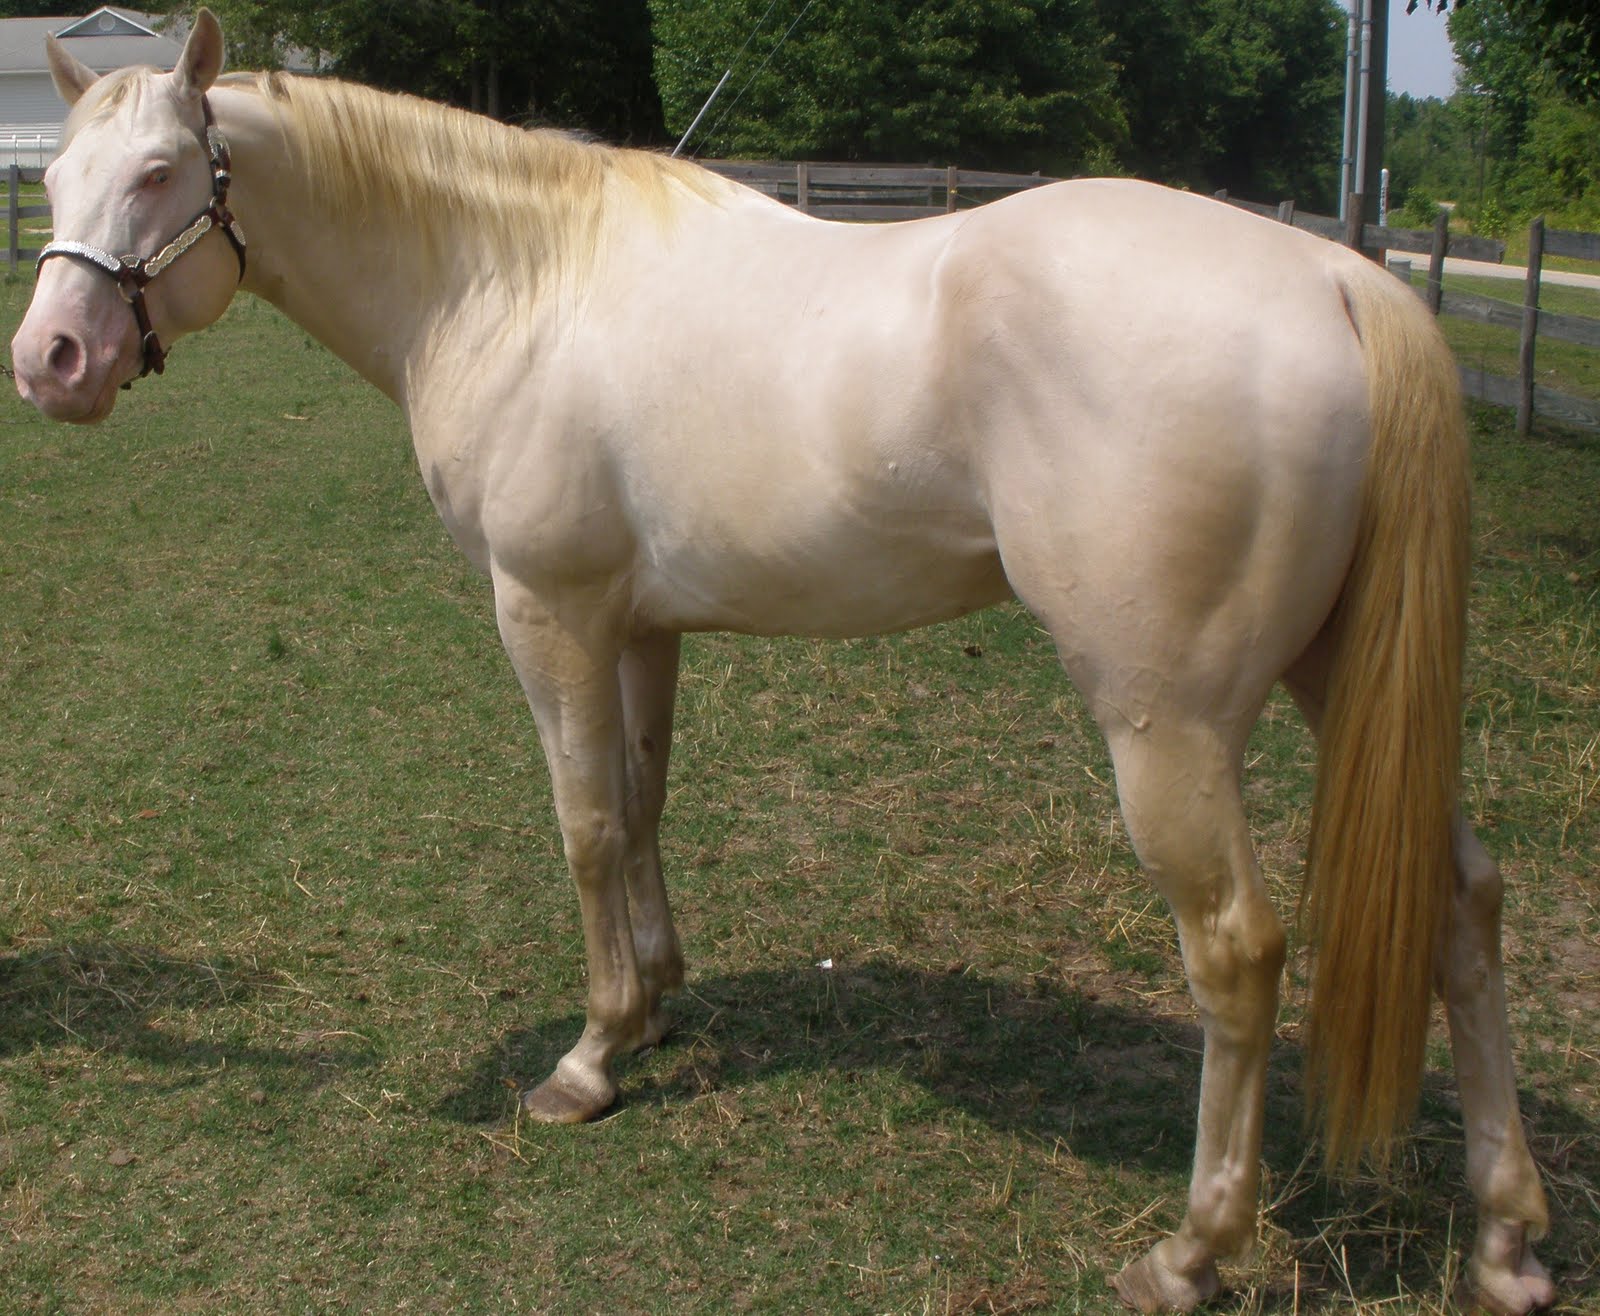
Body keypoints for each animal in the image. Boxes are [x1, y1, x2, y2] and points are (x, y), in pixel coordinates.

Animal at [9, 12, 1554, 1312]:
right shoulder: (640, 625)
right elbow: (641, 807)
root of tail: (1338, 280)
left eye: (161, 174)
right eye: (57, 180)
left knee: (1236, 951)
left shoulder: (549, 614)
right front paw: (654, 1004)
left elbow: (583, 824)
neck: (512, 280)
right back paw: (1508, 1236)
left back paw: (1191, 1250)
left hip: (1166, 725)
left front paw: (586, 1061)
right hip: (1339, 675)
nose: (50, 361)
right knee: (1464, 906)